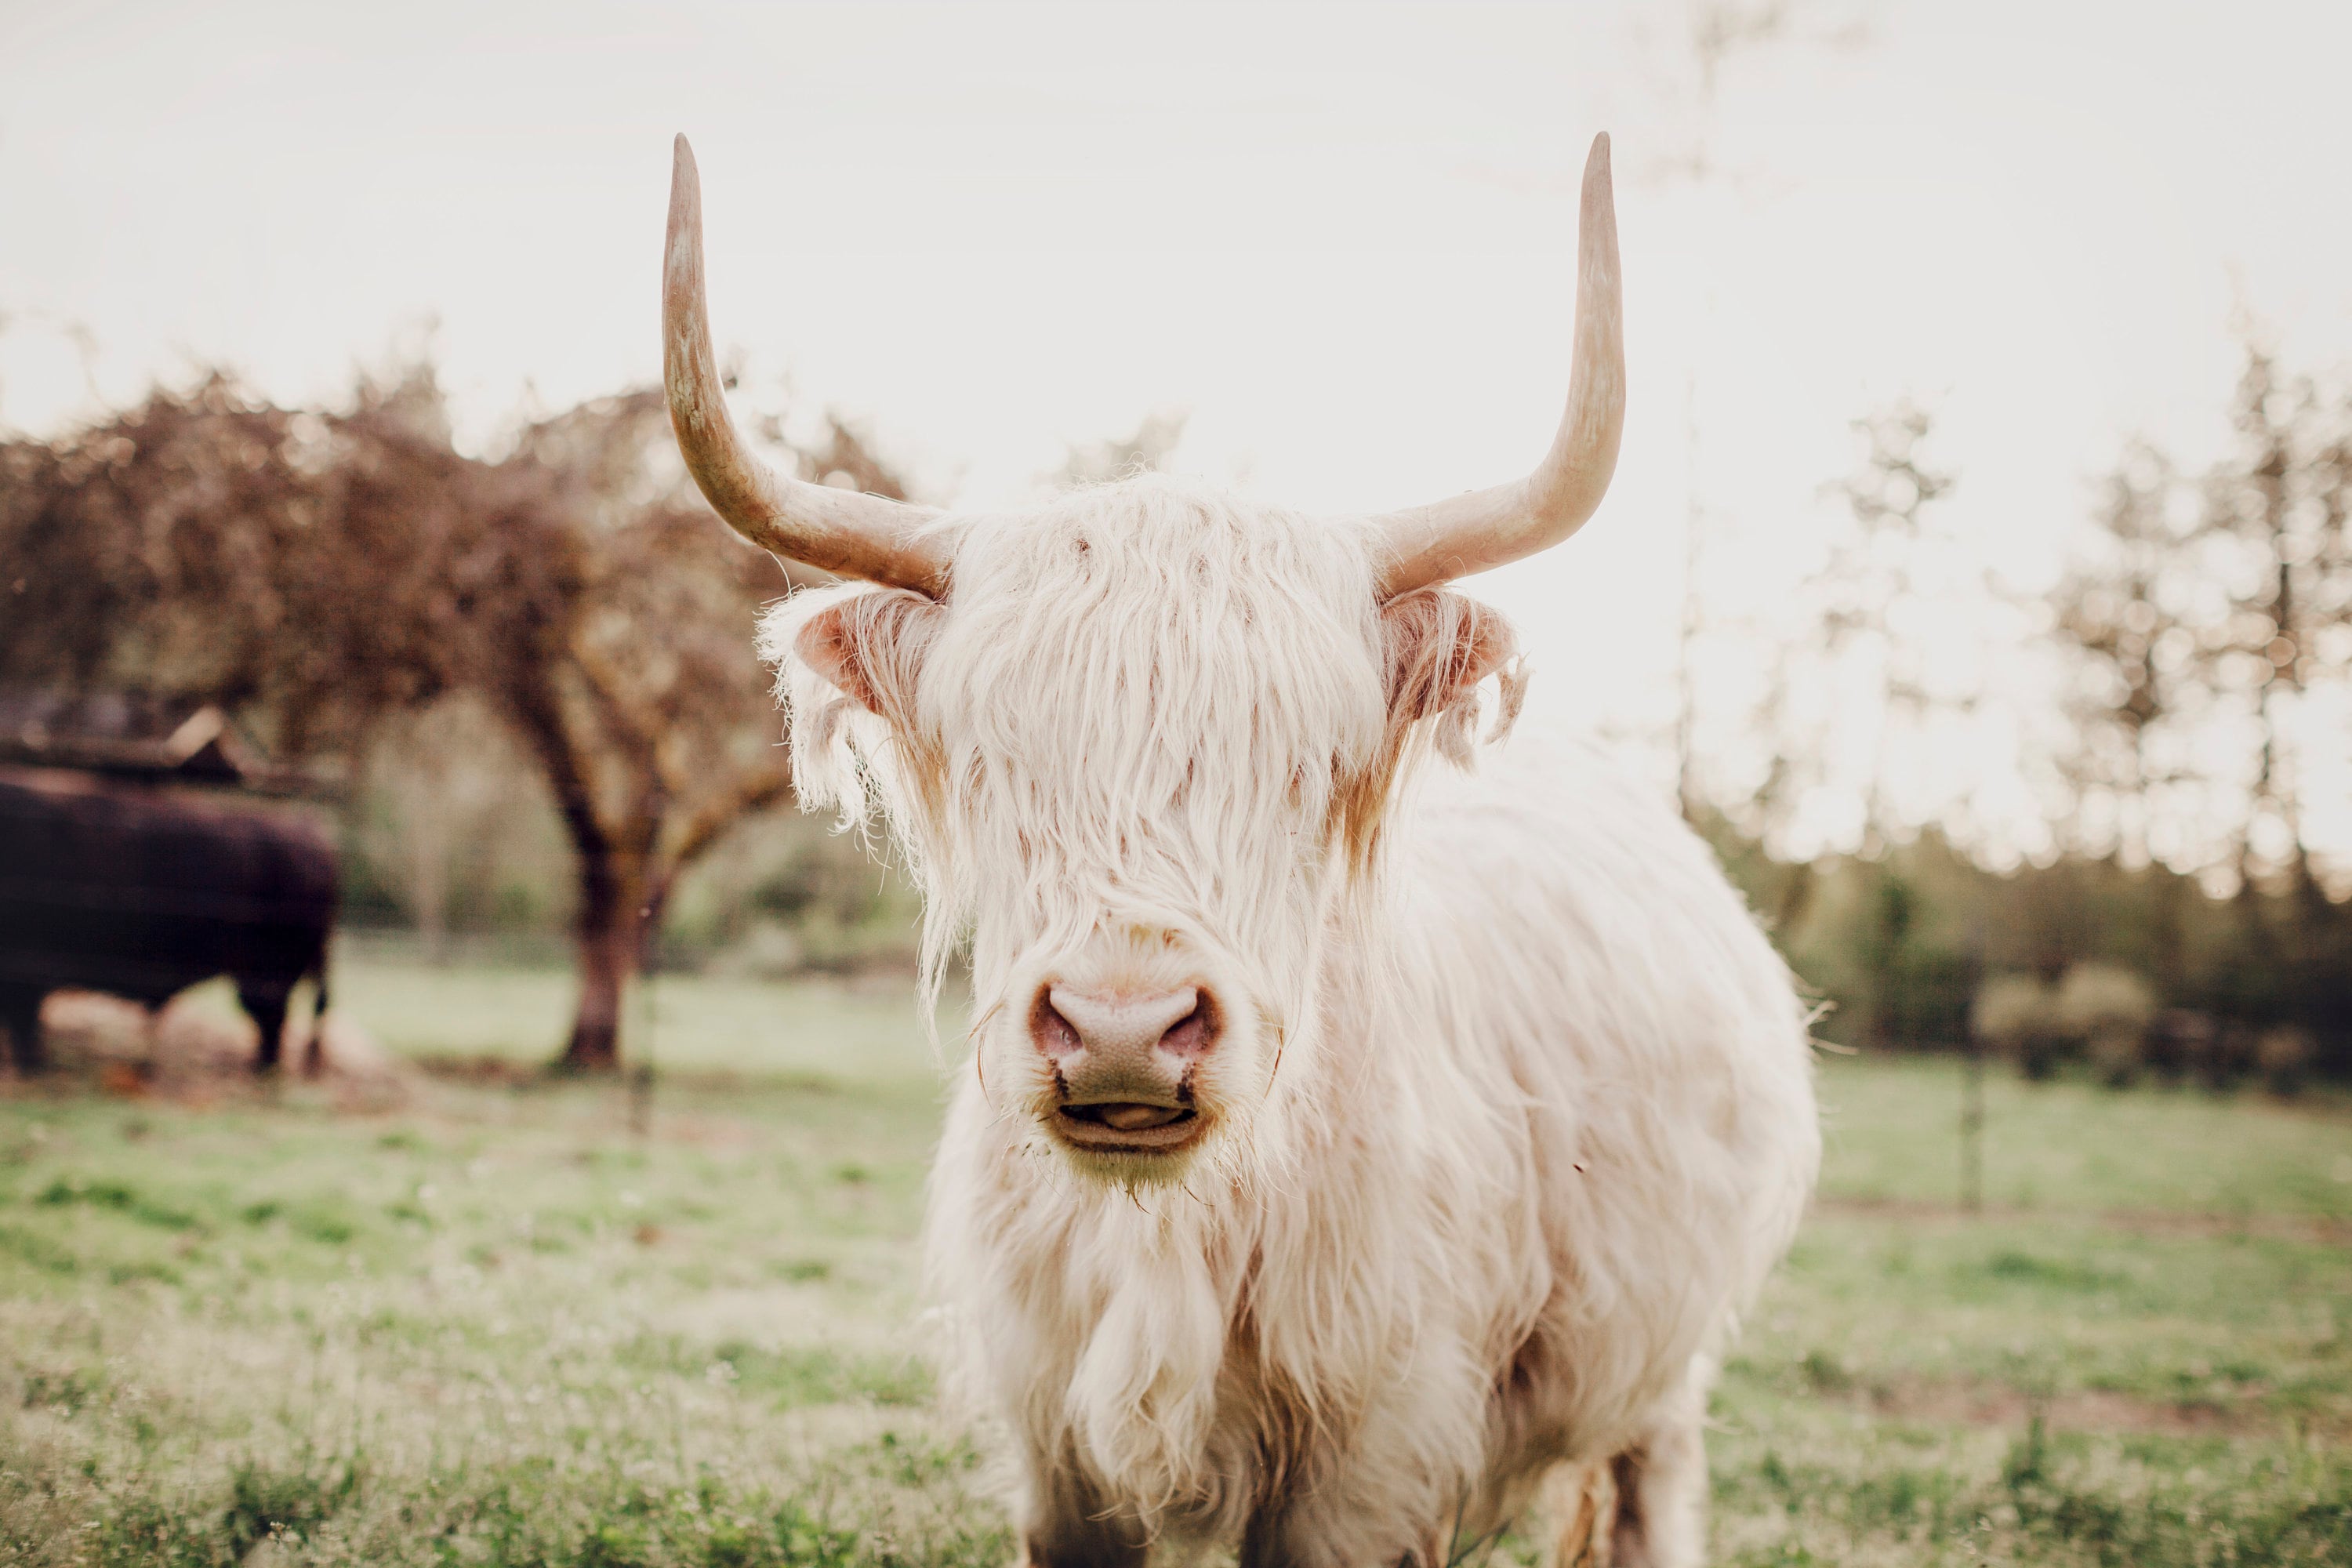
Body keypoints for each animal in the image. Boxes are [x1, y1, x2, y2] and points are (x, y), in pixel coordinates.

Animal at [663, 132, 1819, 1567]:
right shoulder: (1059, 1453)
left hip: (1663, 1366)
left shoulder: (1370, 1461)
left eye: (1308, 765)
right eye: (993, 758)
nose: (1122, 1030)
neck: (1175, 1229)